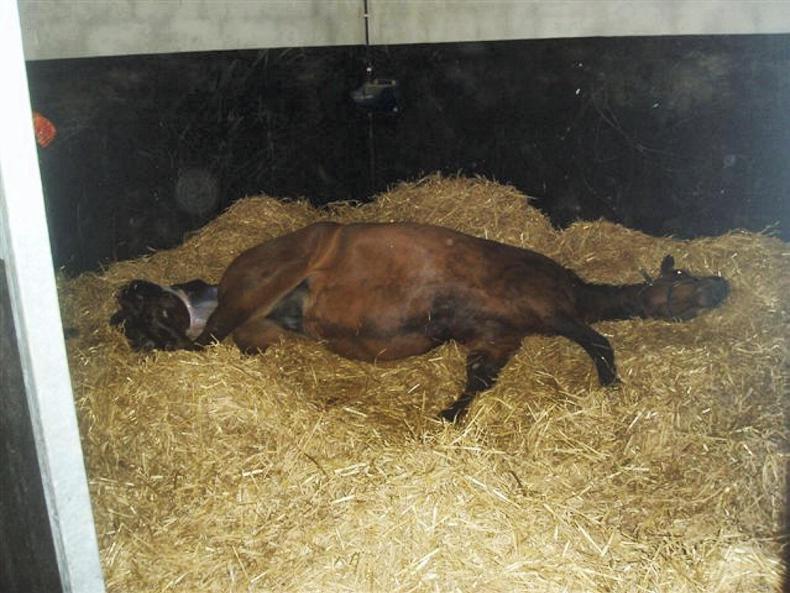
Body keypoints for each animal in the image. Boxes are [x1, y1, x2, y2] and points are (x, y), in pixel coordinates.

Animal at [111, 222, 730, 421]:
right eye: (685, 278)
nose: (723, 287)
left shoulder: (495, 340)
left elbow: (477, 385)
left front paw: (447, 416)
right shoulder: (545, 309)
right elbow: (599, 342)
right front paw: (610, 387)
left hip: (259, 328)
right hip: (283, 266)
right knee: (200, 341)